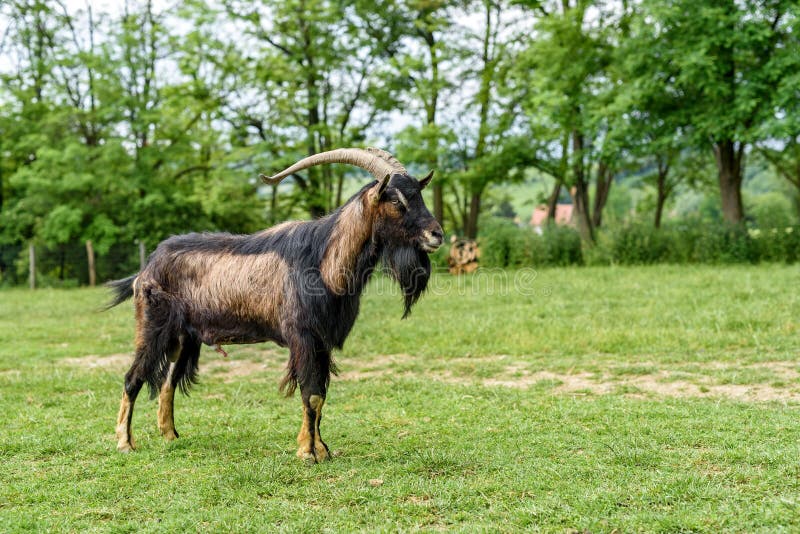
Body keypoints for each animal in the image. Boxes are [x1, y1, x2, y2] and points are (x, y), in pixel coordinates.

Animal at [107, 147, 443, 462]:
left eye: (419, 194)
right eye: (397, 201)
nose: (437, 234)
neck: (324, 260)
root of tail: (147, 267)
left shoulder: (322, 341)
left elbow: (321, 394)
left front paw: (322, 449)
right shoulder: (303, 336)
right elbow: (311, 394)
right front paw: (308, 453)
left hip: (184, 337)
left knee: (167, 381)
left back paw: (170, 436)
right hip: (153, 326)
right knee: (133, 377)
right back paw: (125, 442)